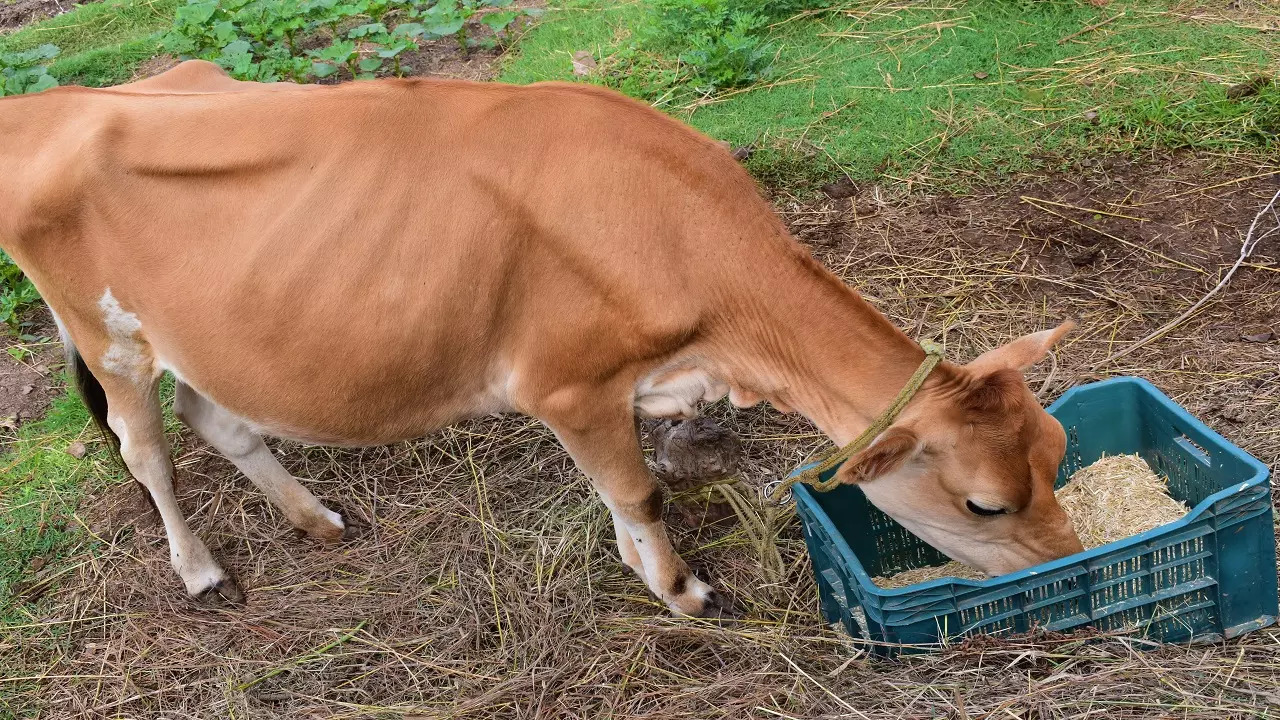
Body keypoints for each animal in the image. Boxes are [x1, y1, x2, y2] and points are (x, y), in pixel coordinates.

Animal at [0, 61, 1083, 617]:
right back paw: (200, 570)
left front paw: (639, 564)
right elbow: (639, 489)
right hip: (103, 332)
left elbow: (618, 489)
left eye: (1059, 451)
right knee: (145, 448)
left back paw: (315, 520)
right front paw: (681, 589)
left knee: (213, 414)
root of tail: (51, 103)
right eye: (985, 504)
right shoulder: (567, 384)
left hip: (203, 330)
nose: (1063, 559)